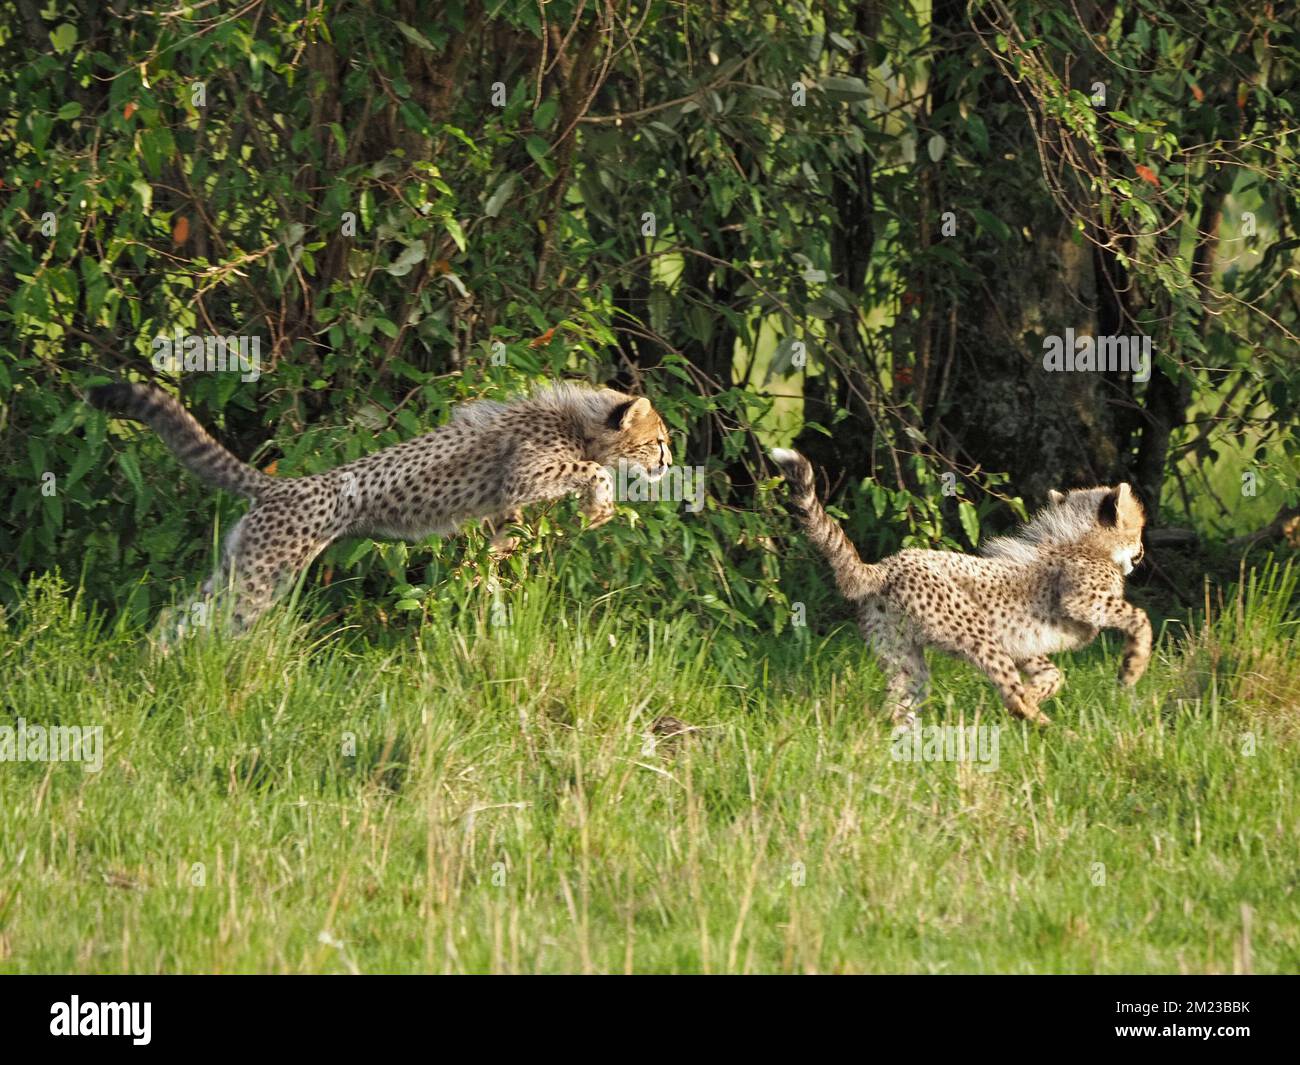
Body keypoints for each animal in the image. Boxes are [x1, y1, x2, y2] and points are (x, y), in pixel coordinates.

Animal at [88, 380, 672, 629]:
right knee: (210, 617)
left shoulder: (505, 504)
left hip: (238, 562)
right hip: (263, 576)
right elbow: (593, 472)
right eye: (658, 440)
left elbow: (502, 540)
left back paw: (156, 660)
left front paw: (490, 570)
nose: (669, 462)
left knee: (180, 611)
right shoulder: (526, 472)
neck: (582, 422)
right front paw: (600, 508)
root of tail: (280, 487)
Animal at [770, 448, 1152, 728]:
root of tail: (885, 566)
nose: (1142, 553)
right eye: (1137, 529)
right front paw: (1131, 669)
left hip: (904, 659)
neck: (1084, 543)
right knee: (1011, 698)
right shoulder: (1081, 601)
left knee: (899, 701)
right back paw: (1053, 730)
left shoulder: (1020, 643)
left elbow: (1053, 674)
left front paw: (1041, 688)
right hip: (976, 633)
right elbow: (1140, 618)